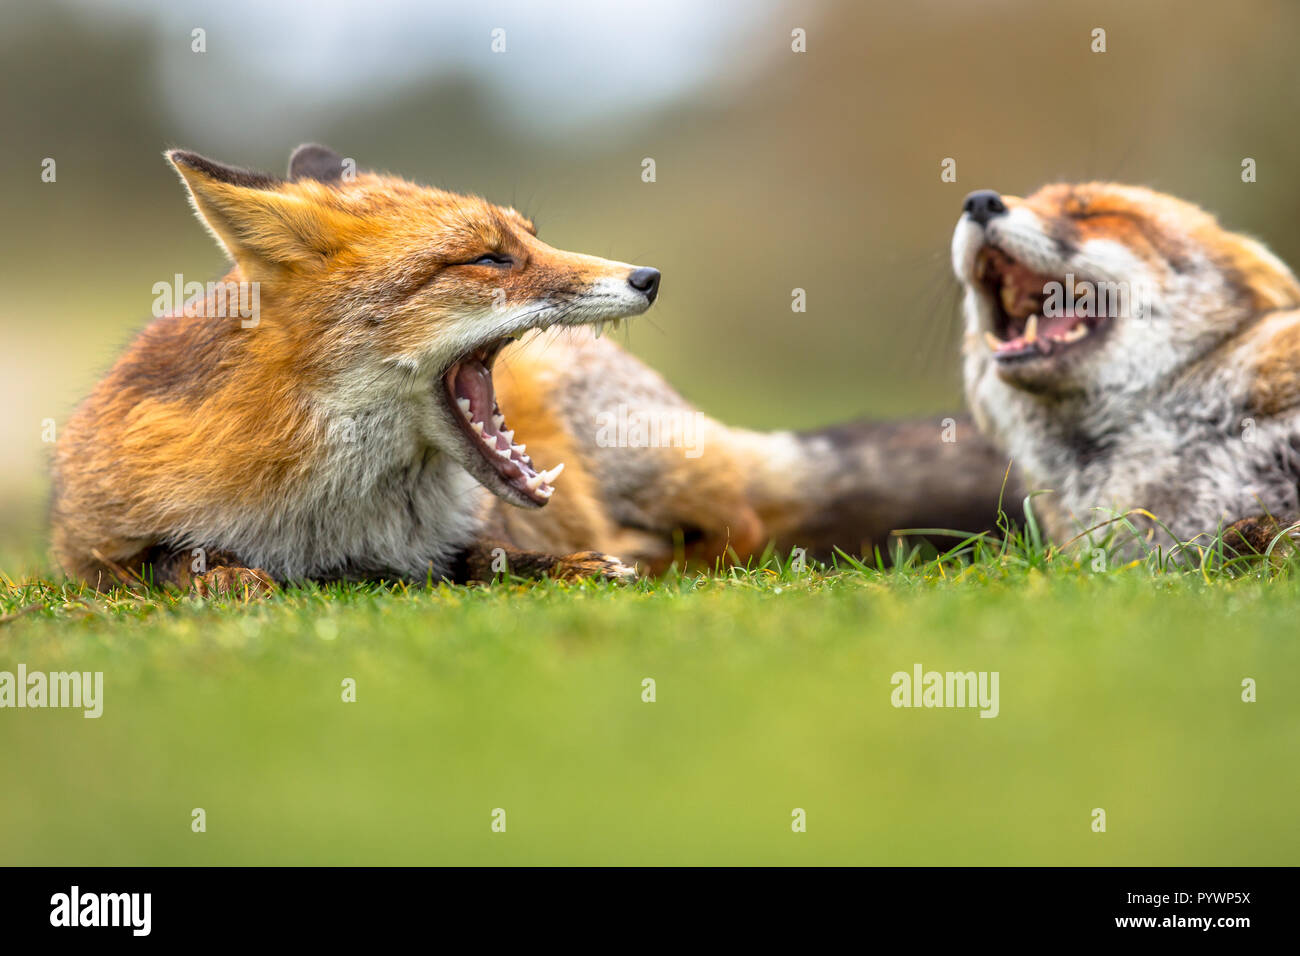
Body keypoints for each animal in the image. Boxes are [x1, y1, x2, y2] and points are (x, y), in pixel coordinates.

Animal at [51, 143, 1015, 595]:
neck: (338, 517)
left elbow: (490, 559)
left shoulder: (468, 534)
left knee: (738, 530)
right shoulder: (90, 545)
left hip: (644, 456)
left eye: (529, 237)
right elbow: (165, 565)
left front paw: (575, 568)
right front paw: (225, 575)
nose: (648, 276)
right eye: (489, 258)